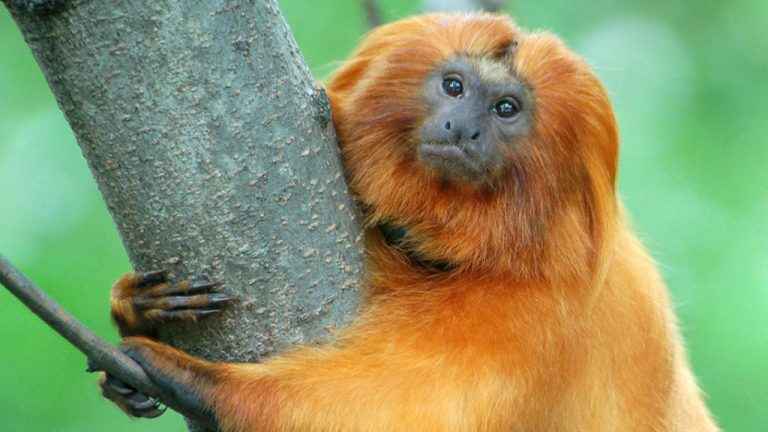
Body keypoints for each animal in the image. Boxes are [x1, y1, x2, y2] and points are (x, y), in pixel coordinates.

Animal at [98, 13, 719, 431]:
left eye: (506, 109)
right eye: (454, 86)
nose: (463, 128)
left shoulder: (546, 312)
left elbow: (409, 409)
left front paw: (188, 377)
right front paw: (137, 307)